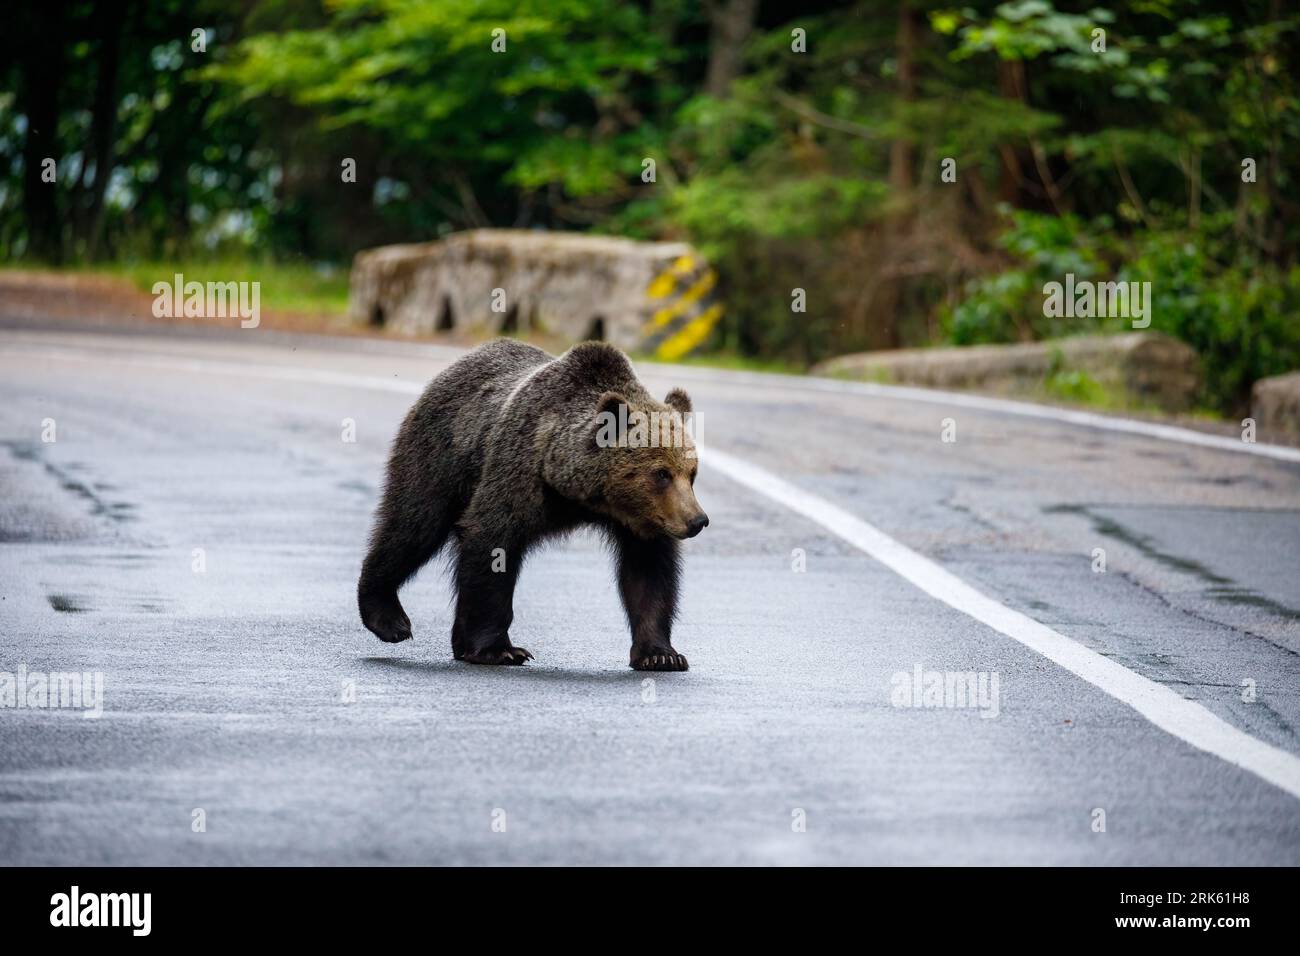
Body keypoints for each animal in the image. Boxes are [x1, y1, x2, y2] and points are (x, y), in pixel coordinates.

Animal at [357, 338, 708, 671]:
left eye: (691, 473)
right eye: (661, 473)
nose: (697, 520)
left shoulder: (642, 522)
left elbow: (648, 576)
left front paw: (661, 655)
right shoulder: (518, 474)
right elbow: (491, 543)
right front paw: (499, 649)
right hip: (441, 454)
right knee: (413, 524)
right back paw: (388, 618)